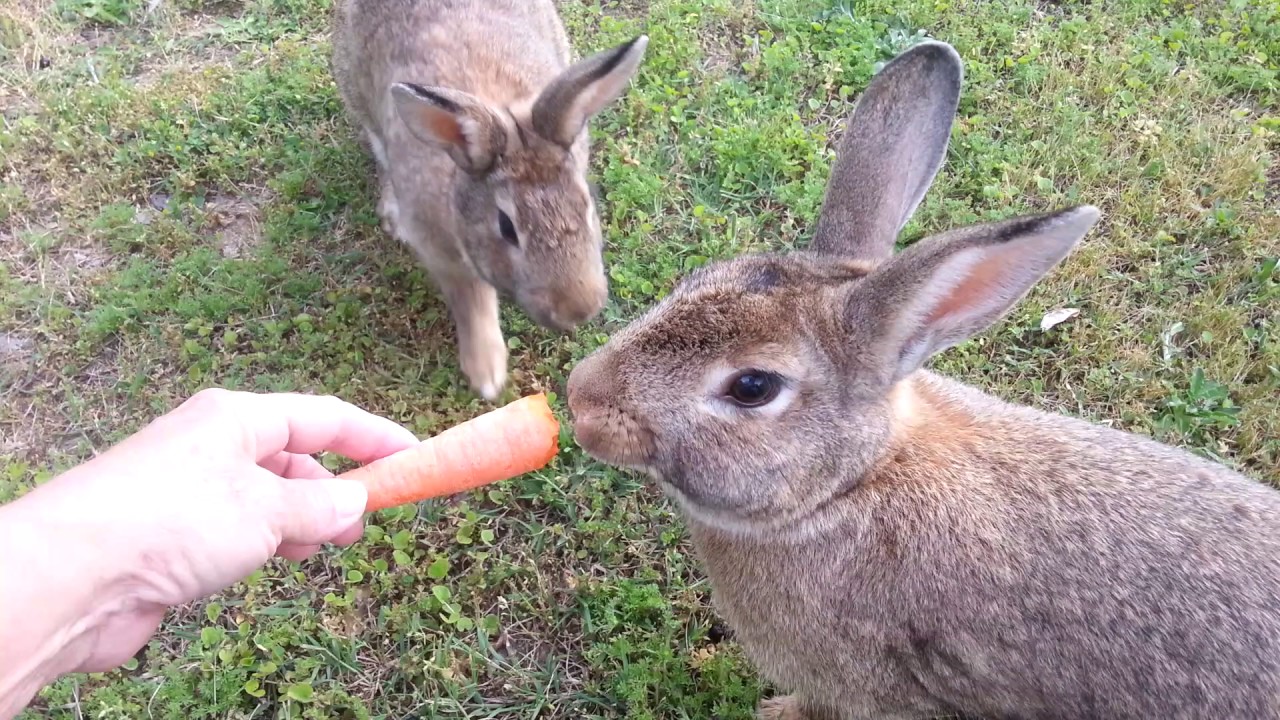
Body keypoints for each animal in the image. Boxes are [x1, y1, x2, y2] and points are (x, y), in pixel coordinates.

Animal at [331, 0, 647, 400]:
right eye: (506, 228)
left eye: (586, 205)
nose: (579, 310)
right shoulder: (443, 253)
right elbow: (472, 301)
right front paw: (487, 376)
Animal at [566, 39, 1280, 720]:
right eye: (695, 280)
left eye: (752, 387)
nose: (581, 399)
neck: (852, 484)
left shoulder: (860, 692)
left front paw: (775, 712)